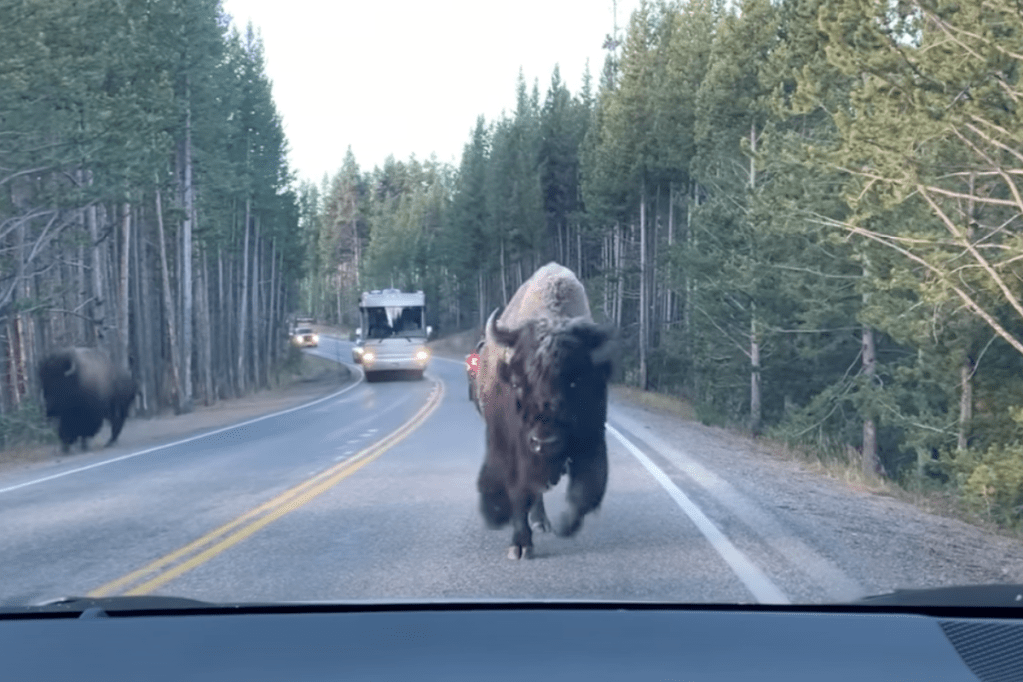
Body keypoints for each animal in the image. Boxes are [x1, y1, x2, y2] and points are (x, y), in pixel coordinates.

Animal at [476, 262, 615, 559]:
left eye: (576, 381)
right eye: (518, 383)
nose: (544, 441)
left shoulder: (593, 439)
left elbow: (588, 488)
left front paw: (565, 525)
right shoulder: (515, 450)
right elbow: (519, 491)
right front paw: (520, 545)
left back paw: (543, 521)